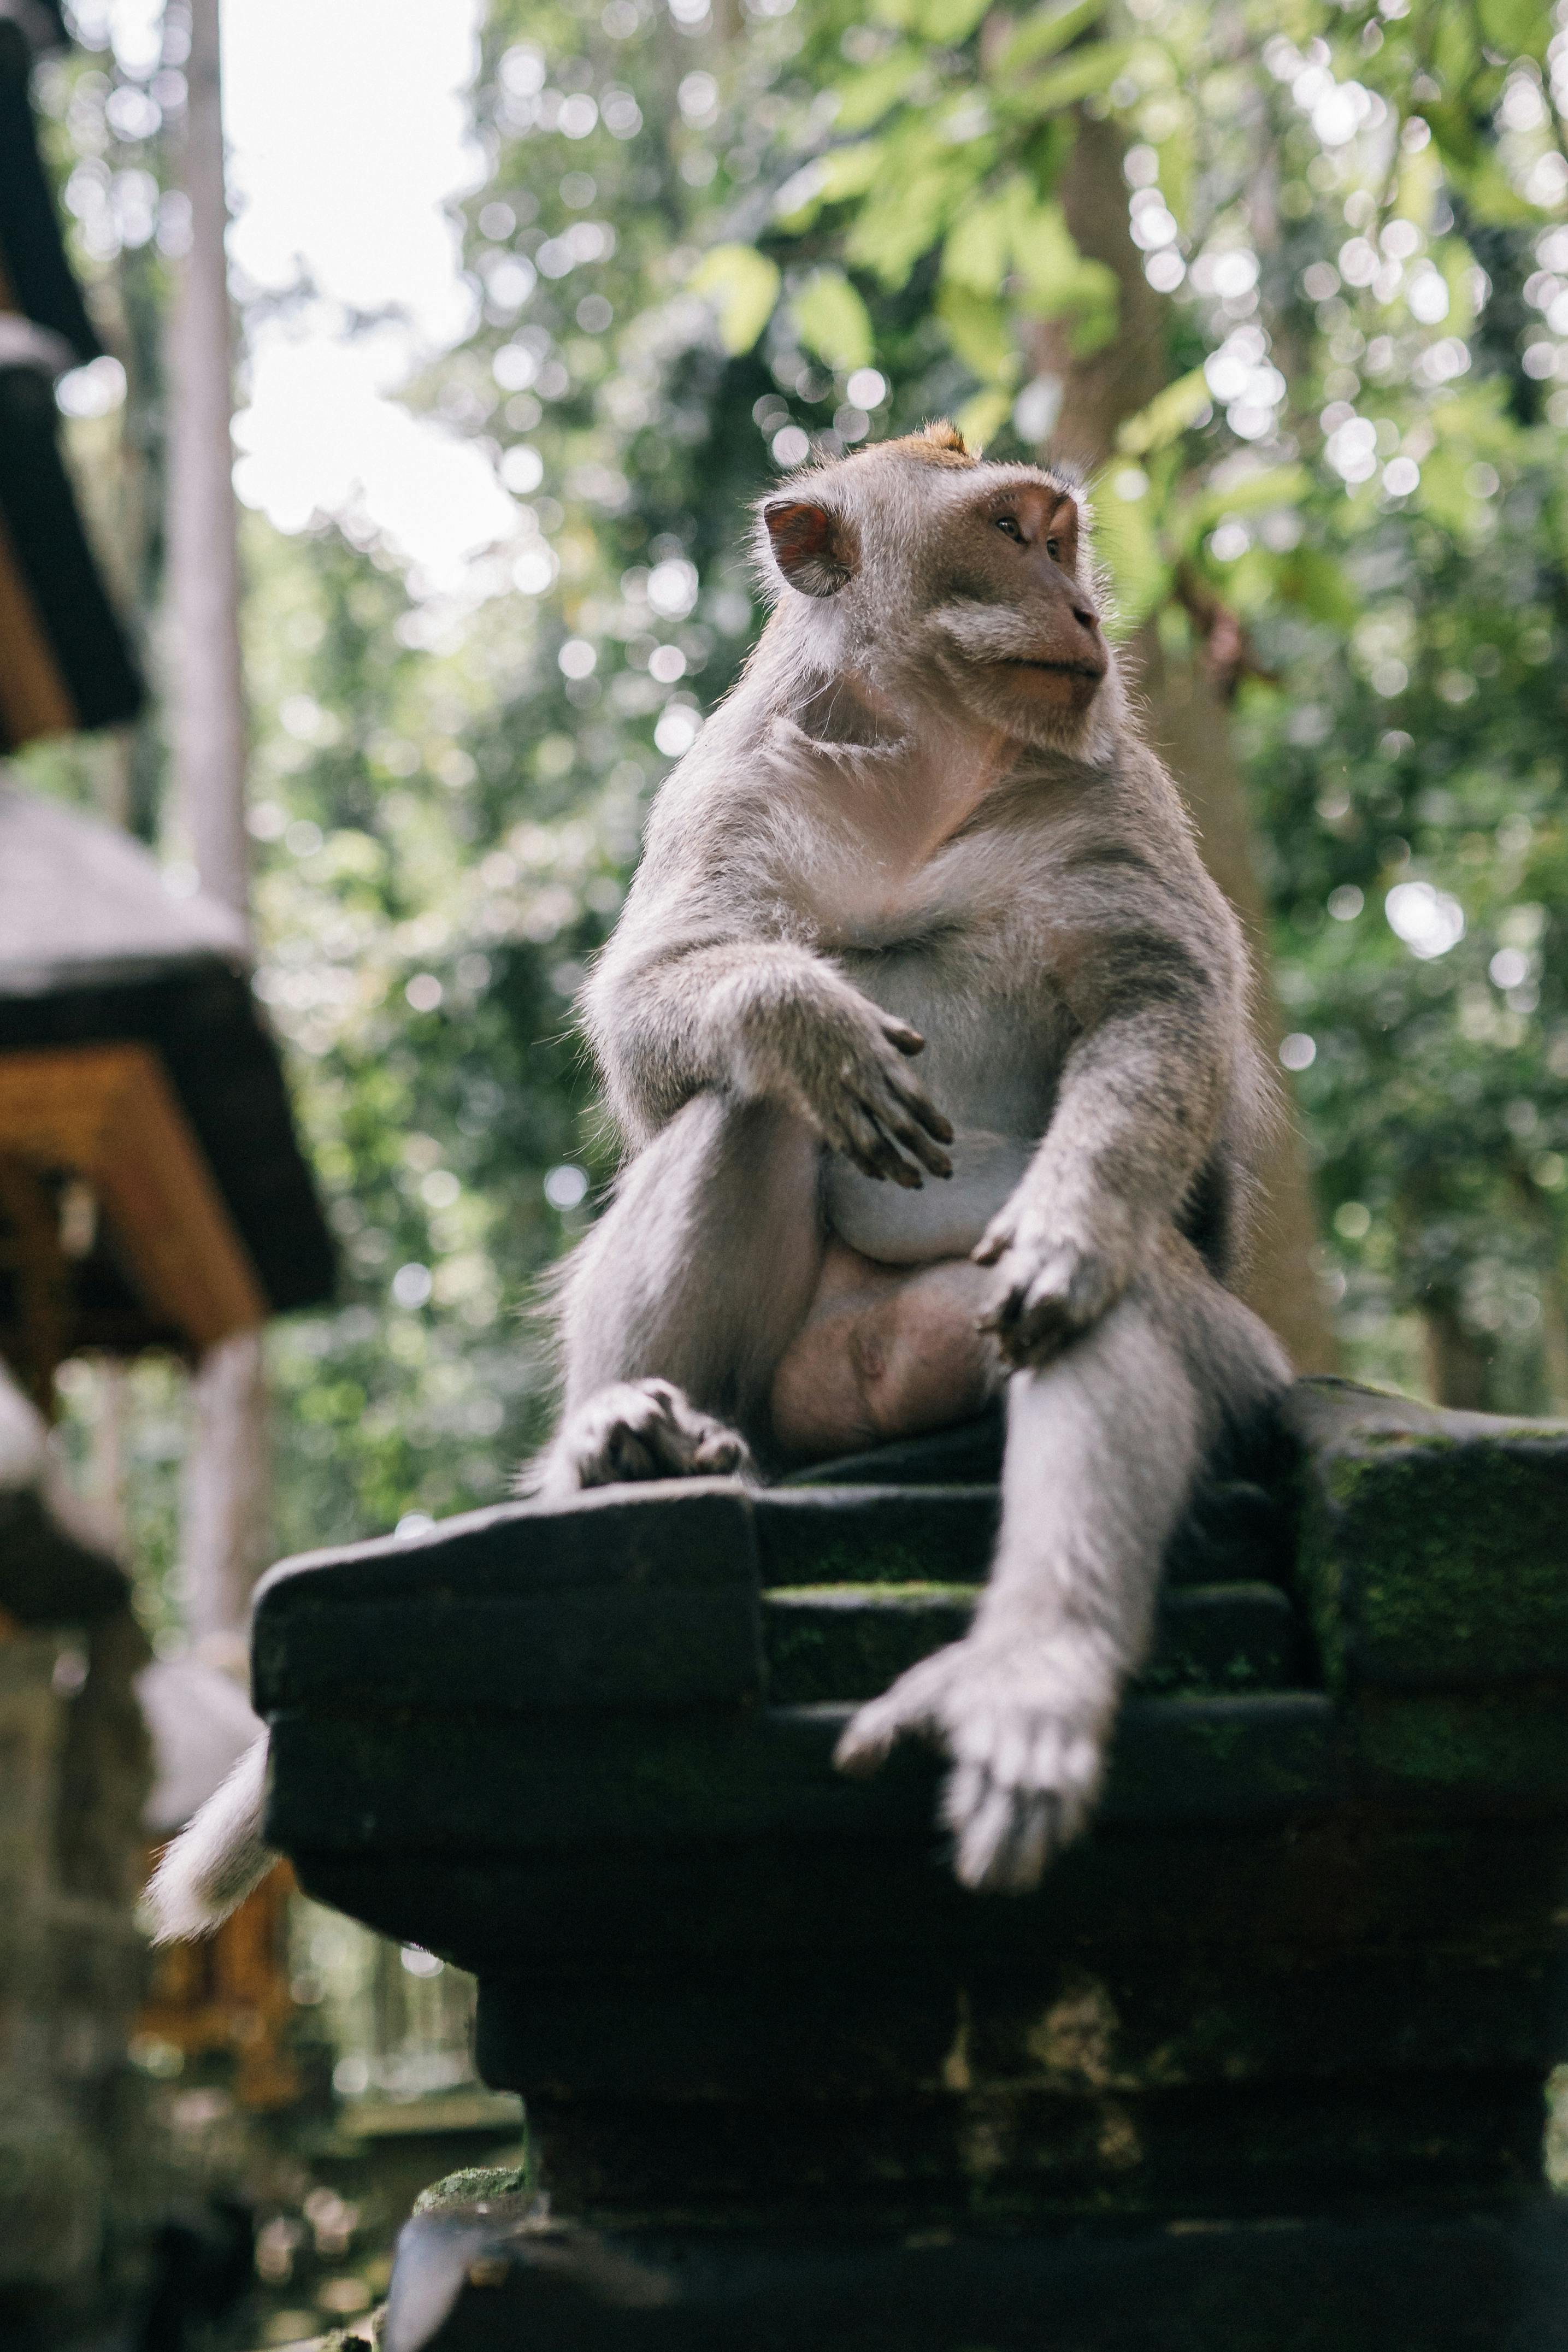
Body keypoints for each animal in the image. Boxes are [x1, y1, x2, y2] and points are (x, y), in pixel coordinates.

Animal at [147, 420, 1289, 1939]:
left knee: (1111, 1309)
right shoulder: (730, 779)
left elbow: (1160, 1010)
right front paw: (798, 1016)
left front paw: (1072, 1218)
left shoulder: (1116, 792)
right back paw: (628, 1441)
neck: (928, 756)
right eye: (1013, 533)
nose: (1087, 611)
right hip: (783, 1386)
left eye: (1064, 537)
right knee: (745, 1114)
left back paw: (1028, 1664)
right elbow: (658, 1022)